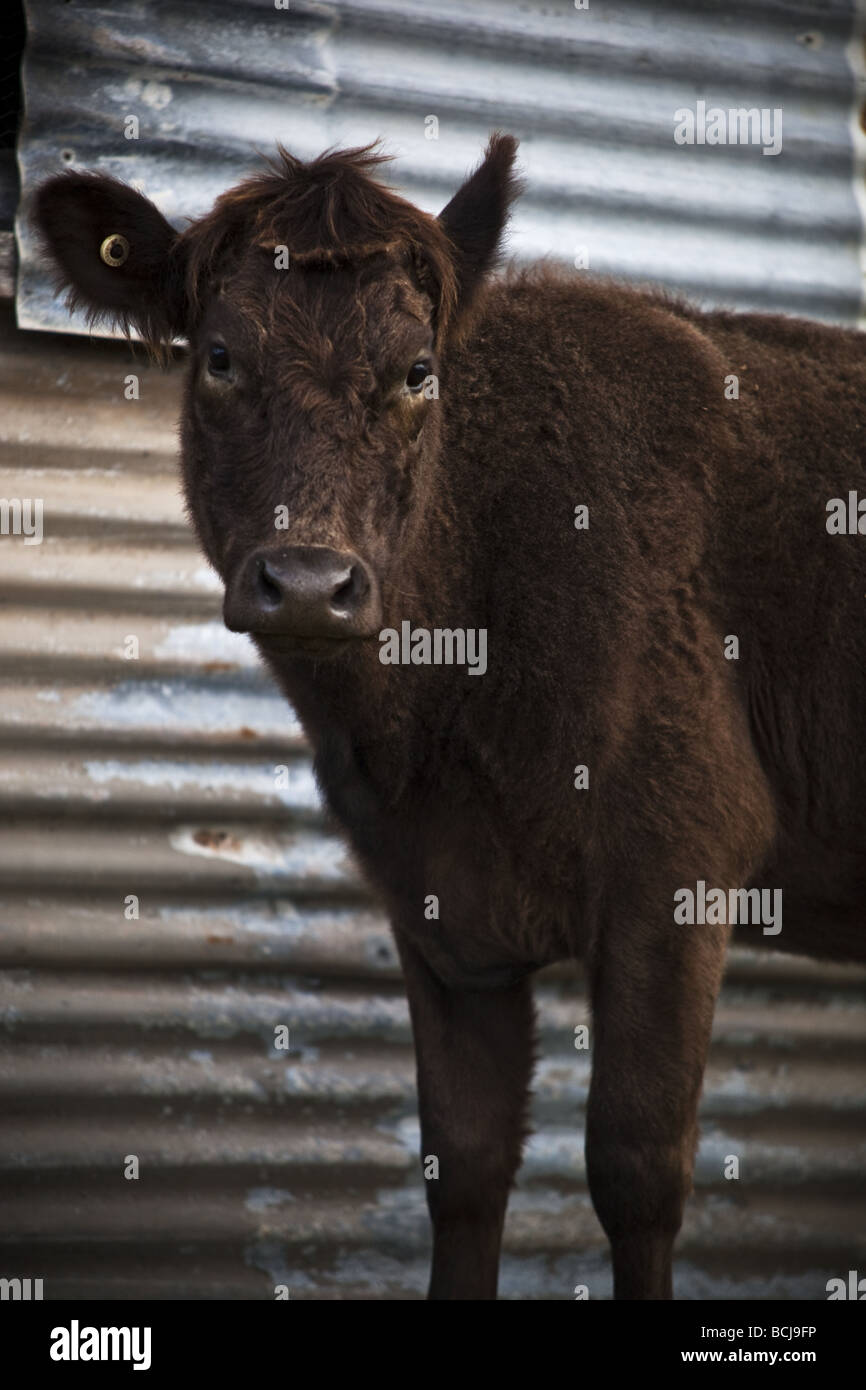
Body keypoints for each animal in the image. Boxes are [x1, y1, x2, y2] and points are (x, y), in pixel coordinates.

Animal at [32, 135, 866, 1299]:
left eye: (418, 372)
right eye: (220, 358)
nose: (307, 582)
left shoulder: (678, 865)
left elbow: (636, 1169)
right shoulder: (436, 908)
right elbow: (463, 1167)